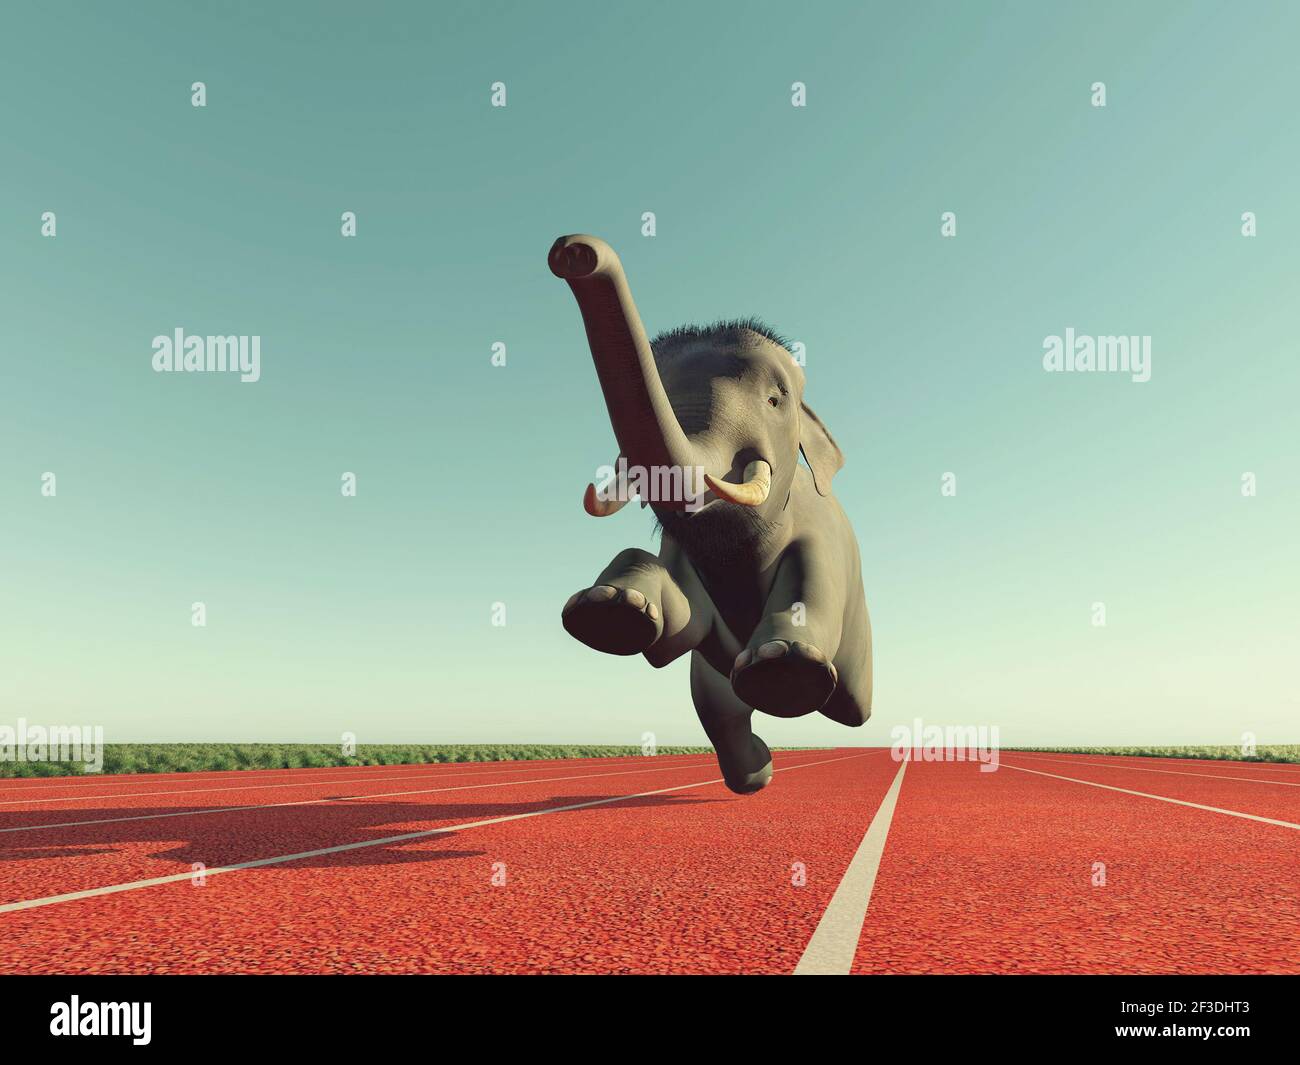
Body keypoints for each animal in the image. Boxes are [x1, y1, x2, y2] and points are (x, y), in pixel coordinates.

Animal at [550, 234, 872, 794]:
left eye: (775, 399)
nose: (577, 252)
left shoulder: (820, 543)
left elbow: (811, 586)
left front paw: (784, 666)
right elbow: (679, 627)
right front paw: (608, 608)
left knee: (852, 706)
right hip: (713, 681)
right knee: (721, 707)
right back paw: (756, 773)